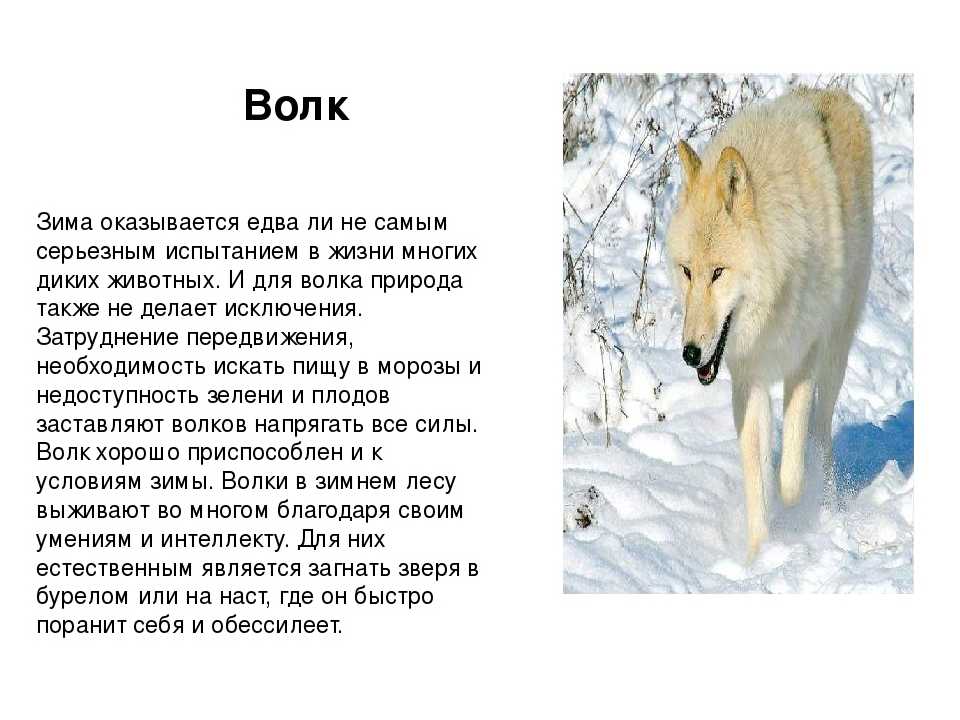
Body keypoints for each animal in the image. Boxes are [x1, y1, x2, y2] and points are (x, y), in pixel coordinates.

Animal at [665, 88, 873, 560]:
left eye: (718, 273)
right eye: (687, 272)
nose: (690, 354)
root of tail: (836, 93)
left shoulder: (804, 360)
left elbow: (790, 477)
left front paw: (795, 508)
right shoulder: (749, 378)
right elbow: (755, 479)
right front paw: (759, 558)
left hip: (836, 351)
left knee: (820, 430)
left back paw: (826, 498)